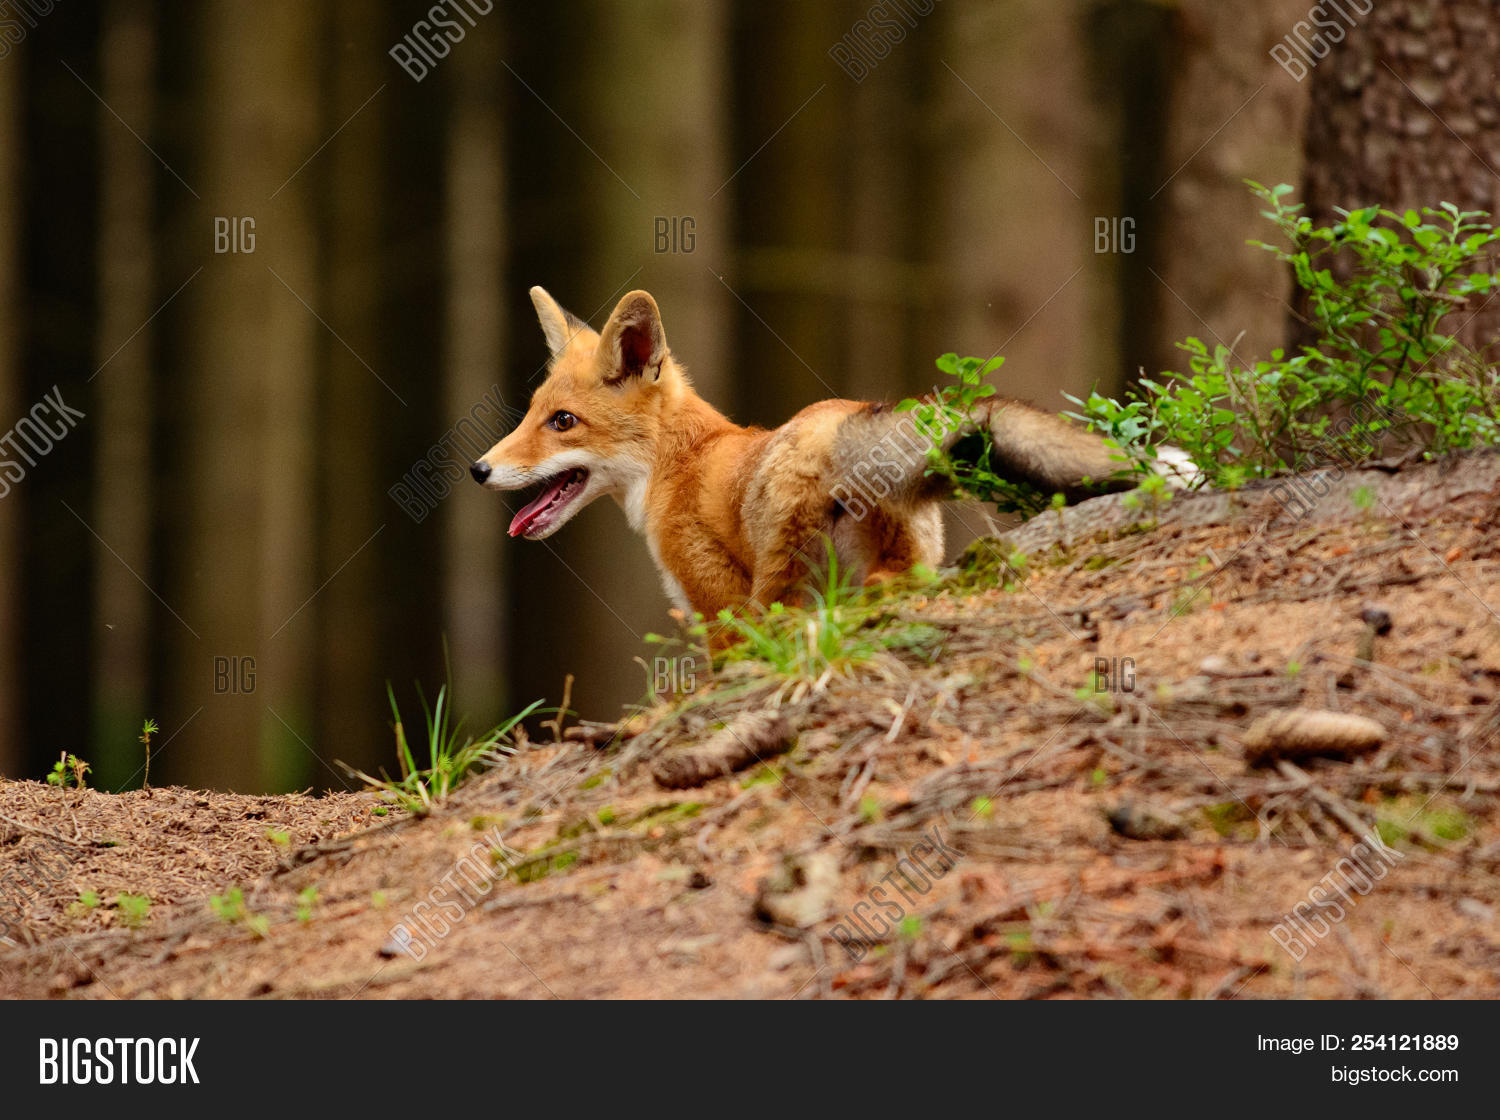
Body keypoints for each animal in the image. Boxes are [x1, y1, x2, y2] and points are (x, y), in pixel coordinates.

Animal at [472, 287, 1193, 619]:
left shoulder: (721, 612)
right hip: (896, 563)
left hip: (780, 597)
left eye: (563, 422)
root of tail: (845, 424)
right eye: (532, 414)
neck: (682, 464)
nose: (478, 470)